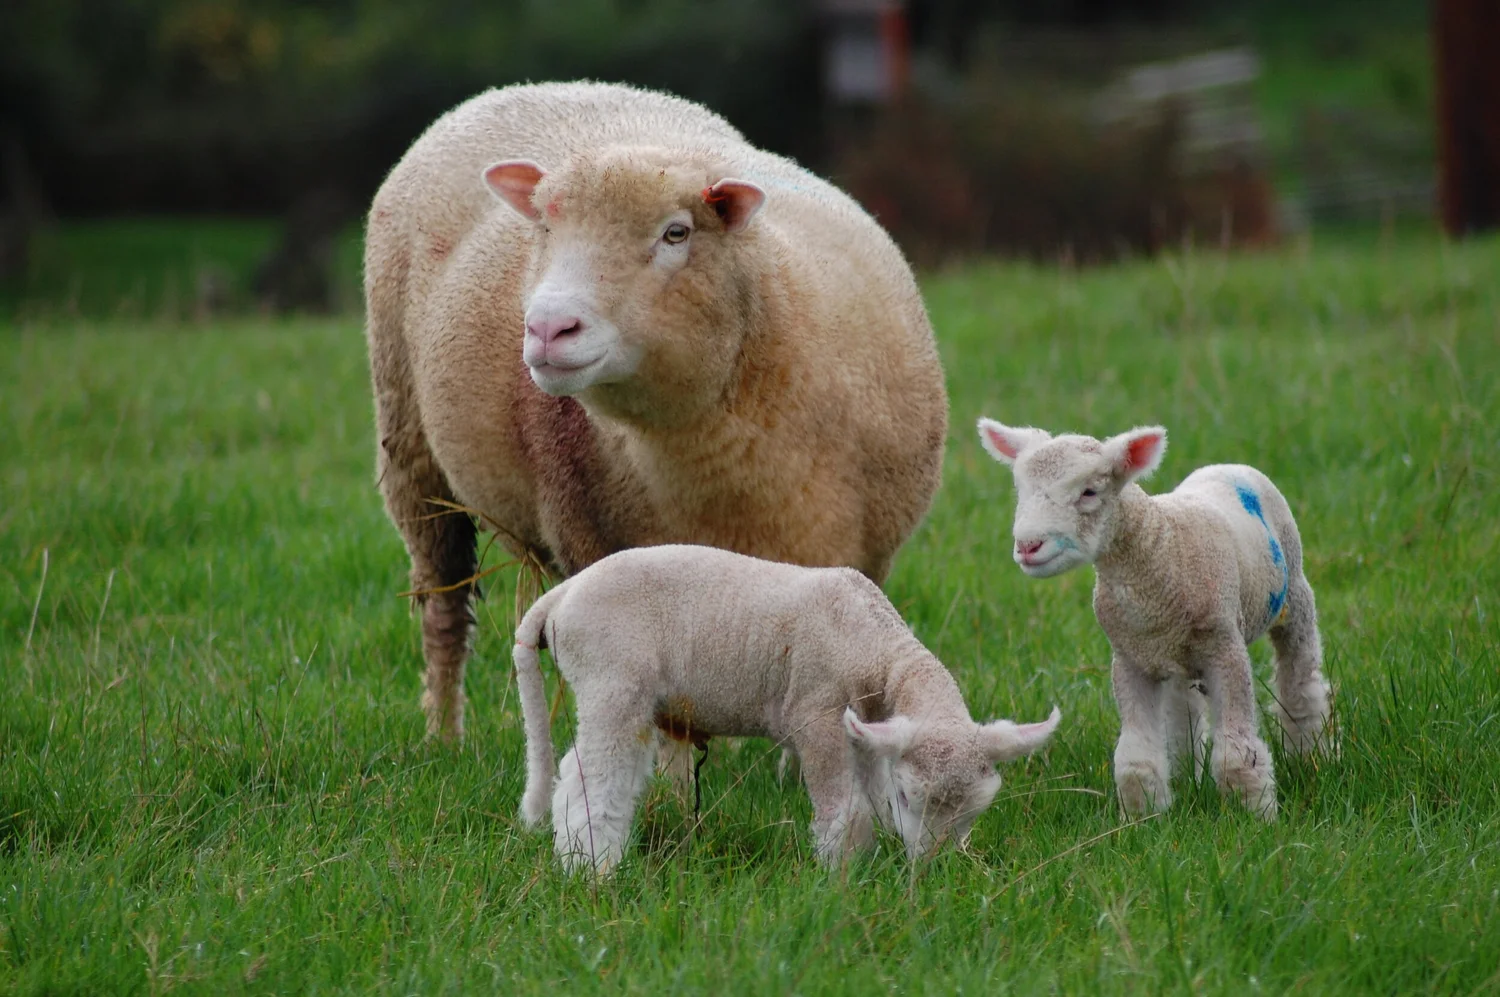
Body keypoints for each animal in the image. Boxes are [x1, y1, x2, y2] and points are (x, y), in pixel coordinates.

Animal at [364, 81, 947, 744]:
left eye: (676, 233)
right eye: (544, 227)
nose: (547, 327)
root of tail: (535, 86)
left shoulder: (860, 565)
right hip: (410, 447)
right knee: (442, 606)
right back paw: (443, 735)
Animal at [511, 544, 1062, 874]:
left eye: (973, 813)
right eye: (912, 797)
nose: (932, 871)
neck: (876, 644)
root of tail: (559, 598)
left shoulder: (869, 728)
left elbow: (871, 796)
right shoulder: (816, 715)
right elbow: (844, 810)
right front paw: (843, 876)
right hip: (611, 677)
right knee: (589, 780)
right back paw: (592, 868)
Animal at [976, 418, 1333, 820]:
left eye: (1089, 492)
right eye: (1020, 490)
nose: (1027, 546)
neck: (1160, 544)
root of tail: (1227, 465)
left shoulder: (1226, 649)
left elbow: (1239, 756)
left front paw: (1256, 818)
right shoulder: (1130, 658)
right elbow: (1136, 760)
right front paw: (1143, 819)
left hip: (1295, 594)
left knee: (1300, 684)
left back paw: (1310, 755)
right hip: (1179, 654)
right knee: (1182, 712)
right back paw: (1184, 772)